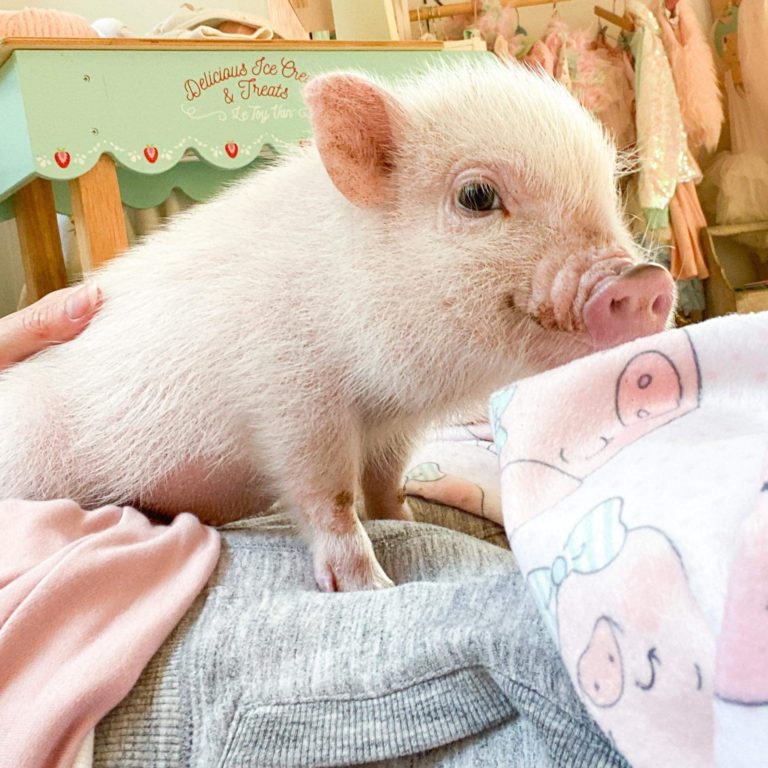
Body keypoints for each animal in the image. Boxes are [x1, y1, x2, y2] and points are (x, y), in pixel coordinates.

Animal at [0, 61, 676, 591]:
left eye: (609, 192)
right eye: (477, 197)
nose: (646, 280)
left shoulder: (396, 423)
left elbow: (386, 479)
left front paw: (408, 522)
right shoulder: (292, 400)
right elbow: (328, 494)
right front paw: (370, 586)